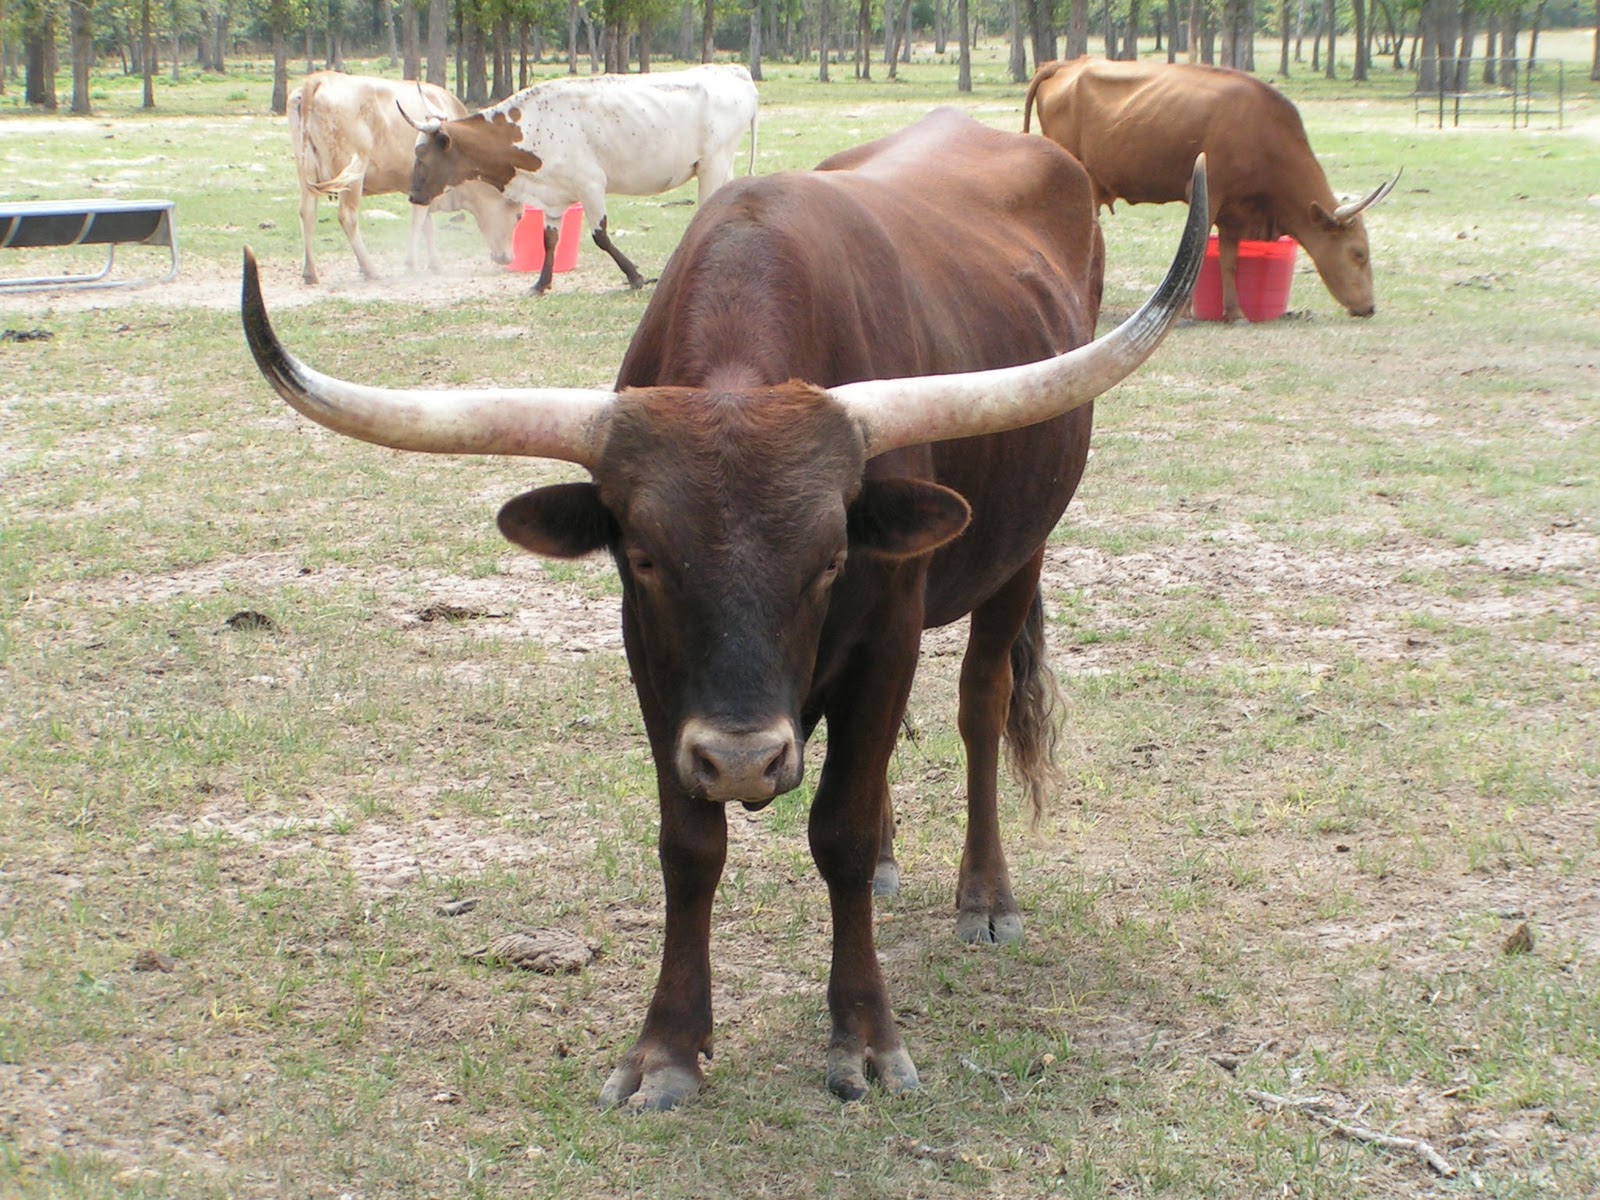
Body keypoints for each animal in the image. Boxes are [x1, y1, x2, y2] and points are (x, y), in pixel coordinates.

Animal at [243, 108, 1208, 1110]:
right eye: (644, 557)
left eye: (831, 560)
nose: (744, 760)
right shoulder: (653, 663)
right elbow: (690, 844)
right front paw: (665, 1047)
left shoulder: (888, 631)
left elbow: (839, 831)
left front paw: (866, 1037)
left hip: (1021, 552)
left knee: (980, 706)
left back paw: (984, 895)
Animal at [289, 72, 522, 285]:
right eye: (518, 215)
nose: (507, 258)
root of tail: (320, 78)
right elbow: (418, 222)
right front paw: (411, 264)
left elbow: (427, 226)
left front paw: (435, 264)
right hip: (353, 174)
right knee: (347, 216)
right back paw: (370, 269)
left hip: (305, 173)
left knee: (306, 214)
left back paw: (310, 272)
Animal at [403, 63, 760, 294]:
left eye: (422, 156)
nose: (413, 196)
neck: (527, 128)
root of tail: (734, 71)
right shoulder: (553, 195)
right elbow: (549, 240)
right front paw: (541, 284)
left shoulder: (590, 184)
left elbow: (601, 236)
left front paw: (635, 277)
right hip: (721, 165)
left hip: (713, 161)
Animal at [1024, 57, 1397, 322]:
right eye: (1359, 253)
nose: (1370, 307)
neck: (1264, 130)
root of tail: (1067, 64)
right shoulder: (1209, 191)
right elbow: (1201, 253)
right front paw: (1186, 311)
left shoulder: (1234, 210)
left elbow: (1229, 261)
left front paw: (1235, 312)